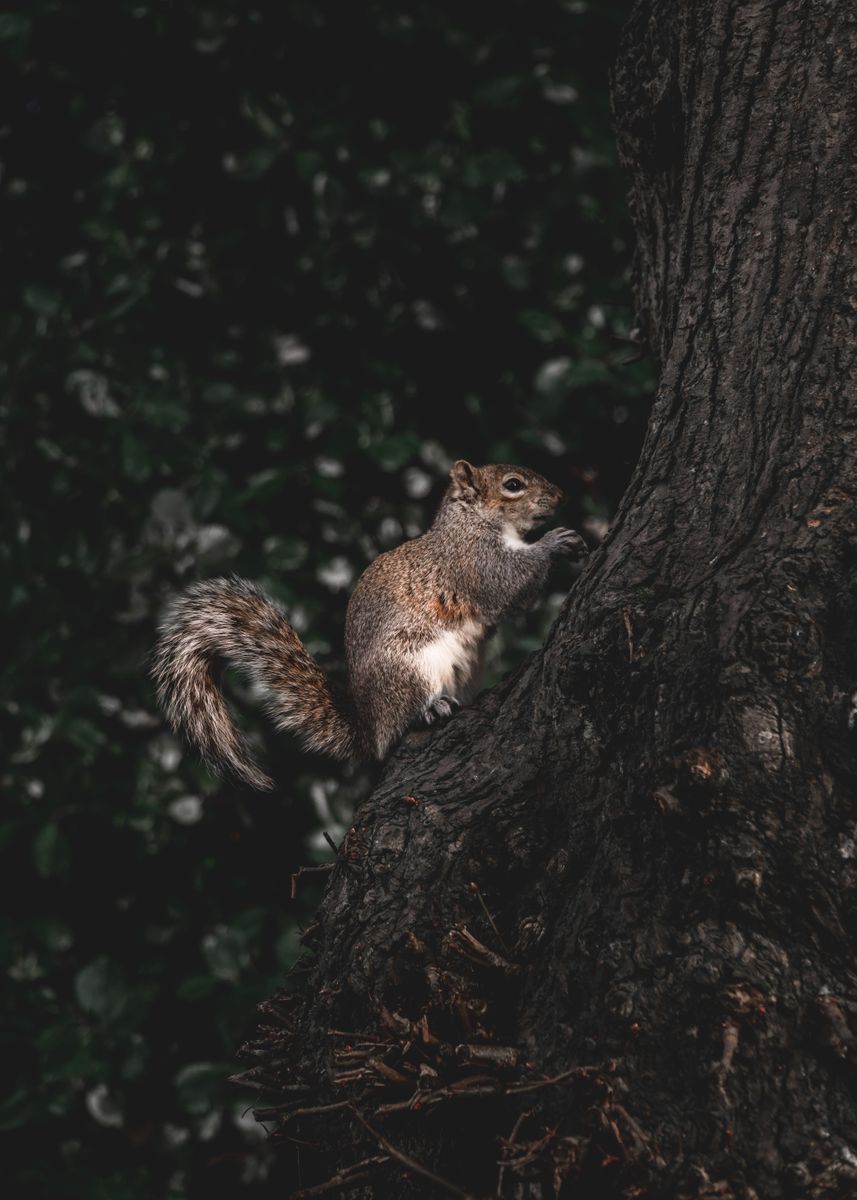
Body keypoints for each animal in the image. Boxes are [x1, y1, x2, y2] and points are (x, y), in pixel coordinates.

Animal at [152, 459, 587, 790]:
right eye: (513, 485)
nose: (562, 496)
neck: (471, 522)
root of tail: (368, 727)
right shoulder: (472, 561)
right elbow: (506, 586)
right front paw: (554, 543)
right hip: (409, 667)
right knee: (399, 726)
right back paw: (430, 709)